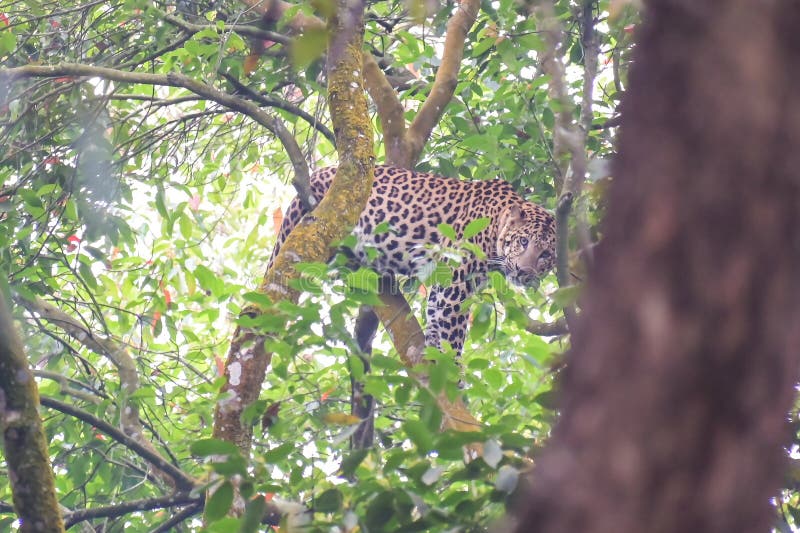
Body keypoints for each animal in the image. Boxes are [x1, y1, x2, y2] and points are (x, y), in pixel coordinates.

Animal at [269, 165, 556, 355]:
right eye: (523, 242)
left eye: (545, 255)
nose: (525, 272)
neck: (495, 224)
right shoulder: (456, 284)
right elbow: (453, 333)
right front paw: (453, 374)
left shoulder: (445, 278)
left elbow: (435, 314)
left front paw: (433, 347)